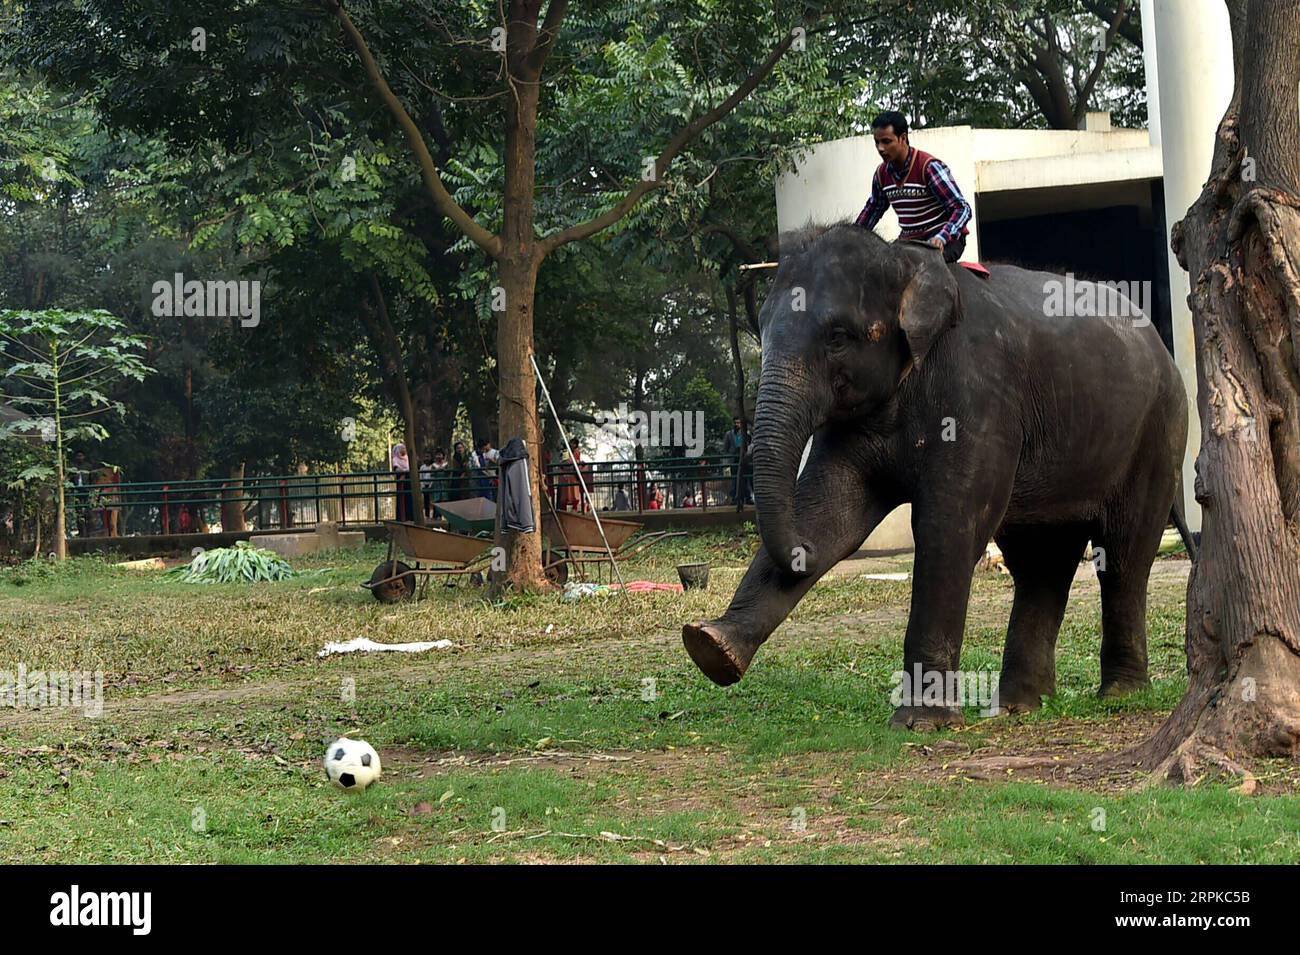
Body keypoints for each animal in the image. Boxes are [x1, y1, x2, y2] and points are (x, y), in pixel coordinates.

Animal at [682, 223, 1188, 729]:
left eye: (838, 337)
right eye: (763, 330)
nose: (796, 556)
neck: (902, 262)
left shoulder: (979, 396)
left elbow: (948, 526)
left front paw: (920, 723)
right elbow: (832, 516)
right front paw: (709, 647)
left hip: (1157, 433)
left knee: (1122, 555)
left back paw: (1119, 694)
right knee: (1040, 562)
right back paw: (1017, 706)